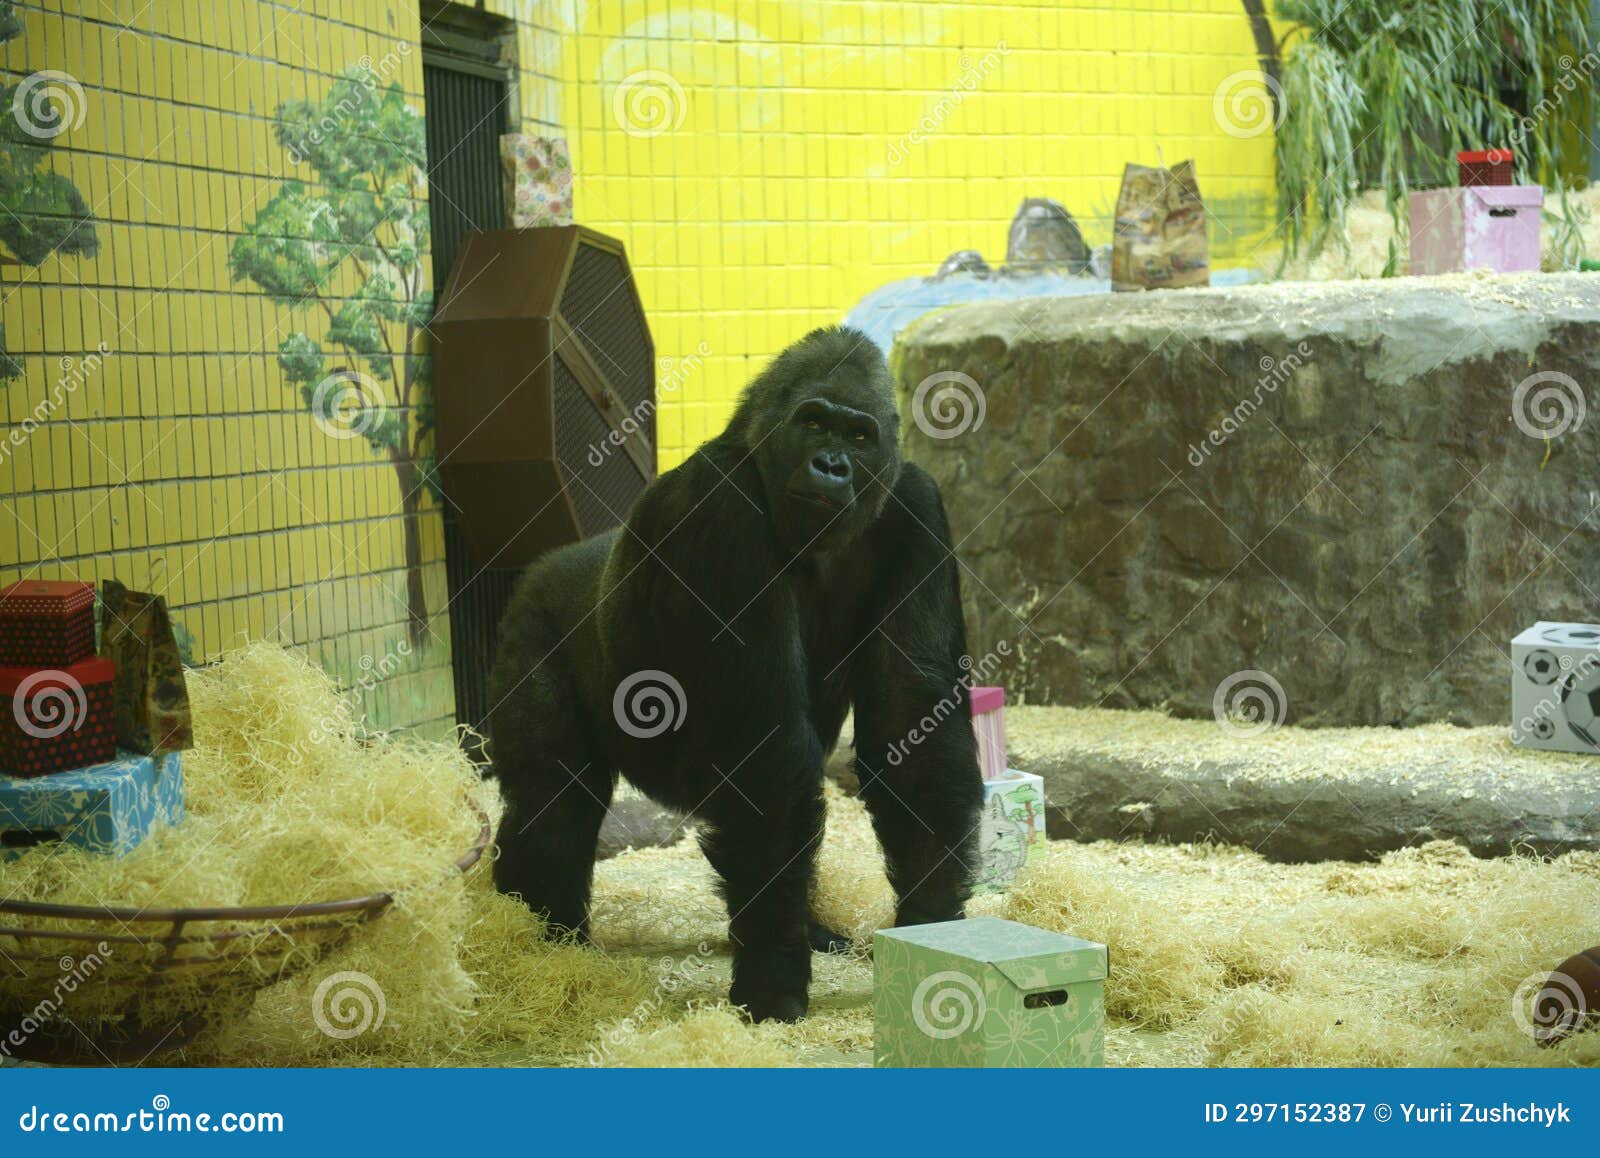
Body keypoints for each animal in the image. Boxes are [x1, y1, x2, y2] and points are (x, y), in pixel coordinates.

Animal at [487, 325, 983, 1022]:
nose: (831, 465)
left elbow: (912, 722)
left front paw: (933, 930)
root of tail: (552, 561)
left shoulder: (915, 507)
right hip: (532, 620)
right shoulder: (722, 507)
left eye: (859, 437)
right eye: (813, 422)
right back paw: (540, 936)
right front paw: (772, 977)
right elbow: (765, 747)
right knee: (555, 803)